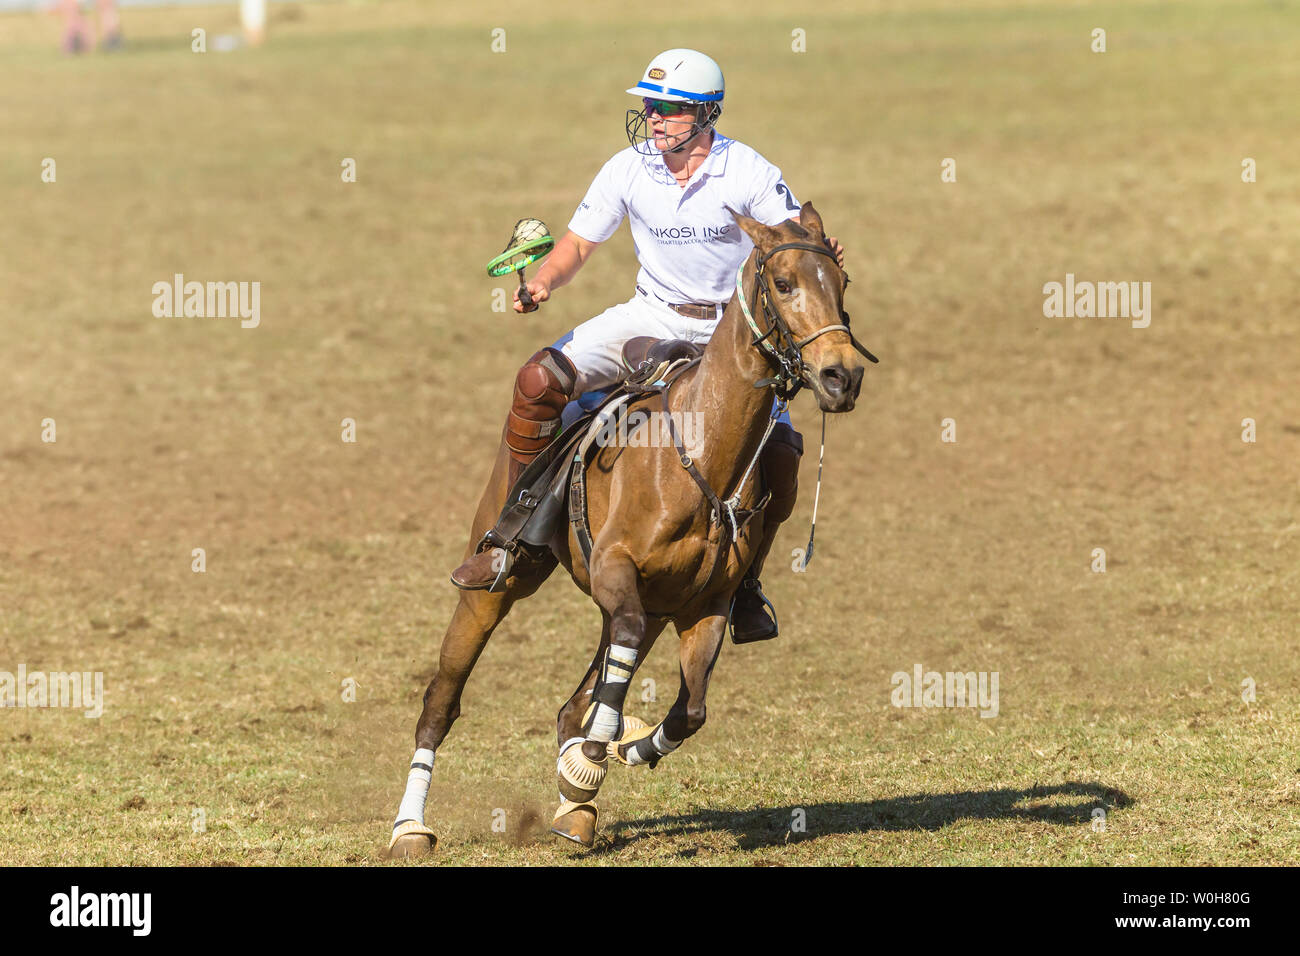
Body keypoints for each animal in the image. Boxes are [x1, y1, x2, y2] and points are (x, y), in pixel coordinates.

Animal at [388, 202, 873, 856]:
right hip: (495, 587)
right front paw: (598, 752)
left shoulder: (704, 605)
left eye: (841, 282)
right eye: (783, 283)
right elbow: (617, 692)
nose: (841, 376)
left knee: (577, 701)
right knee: (441, 701)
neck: (700, 455)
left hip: (655, 608)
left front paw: (613, 752)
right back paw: (410, 827)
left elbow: (689, 710)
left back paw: (576, 808)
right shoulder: (615, 570)